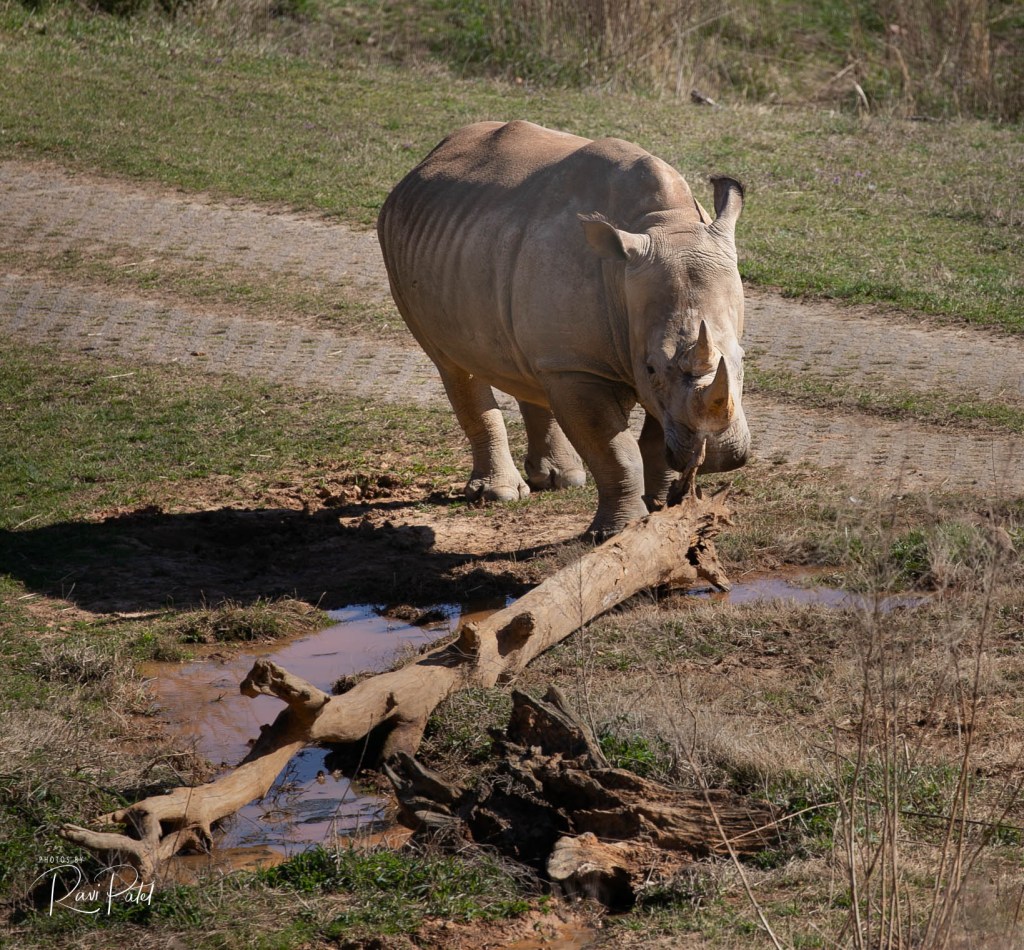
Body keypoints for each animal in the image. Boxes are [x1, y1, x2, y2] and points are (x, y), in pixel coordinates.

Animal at [377, 120, 749, 536]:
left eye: (742, 360)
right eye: (651, 367)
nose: (720, 456)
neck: (666, 222)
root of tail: (426, 161)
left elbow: (656, 436)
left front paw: (662, 508)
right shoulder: (580, 367)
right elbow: (615, 452)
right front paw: (615, 532)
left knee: (529, 365)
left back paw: (560, 480)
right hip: (400, 249)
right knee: (453, 363)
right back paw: (501, 494)